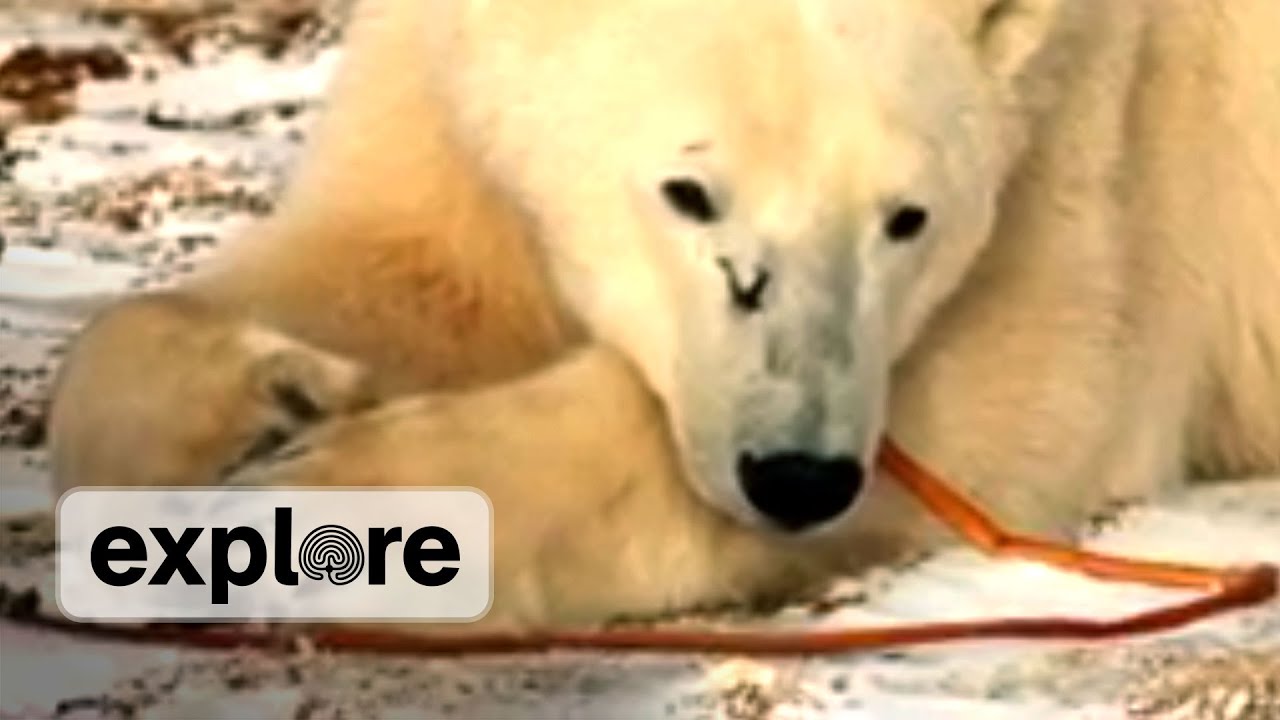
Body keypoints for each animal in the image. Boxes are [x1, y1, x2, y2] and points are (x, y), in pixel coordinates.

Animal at [48, 0, 1280, 630]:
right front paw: (268, 402)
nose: (798, 476)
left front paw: (322, 508)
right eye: (689, 191)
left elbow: (1011, 392)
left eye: (906, 217)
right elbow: (413, 253)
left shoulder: (1103, 124)